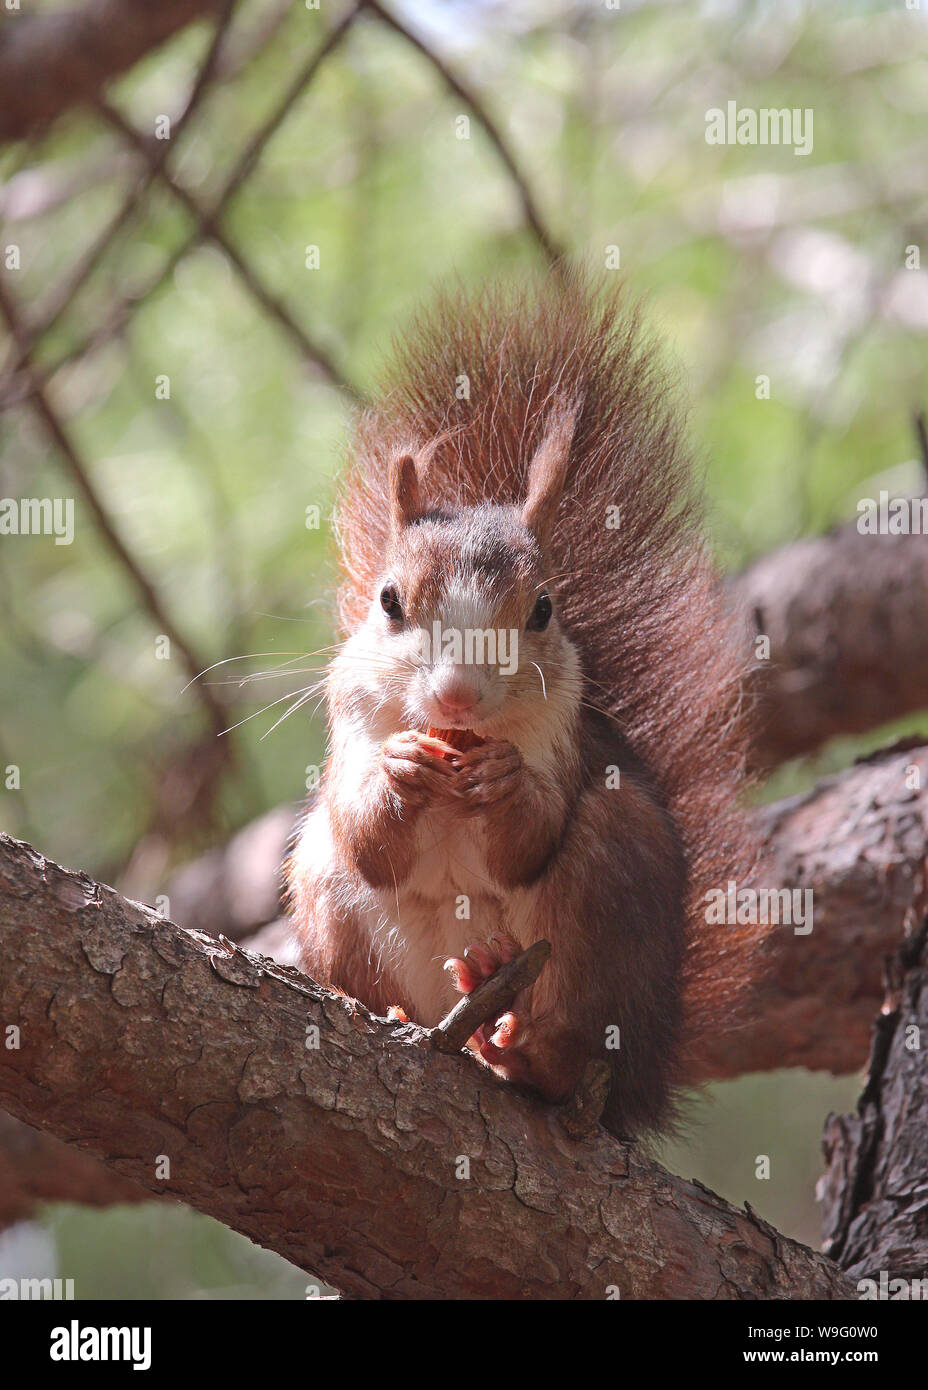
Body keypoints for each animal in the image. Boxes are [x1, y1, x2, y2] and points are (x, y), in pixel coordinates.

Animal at [288, 268, 754, 1137]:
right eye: (388, 601)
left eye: (542, 610)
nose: (457, 695)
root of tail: (645, 1083)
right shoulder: (351, 727)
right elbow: (370, 842)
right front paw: (400, 770)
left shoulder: (561, 741)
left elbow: (529, 840)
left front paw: (504, 786)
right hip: (318, 880)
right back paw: (412, 1012)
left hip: (613, 879)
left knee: (571, 1041)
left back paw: (531, 1051)